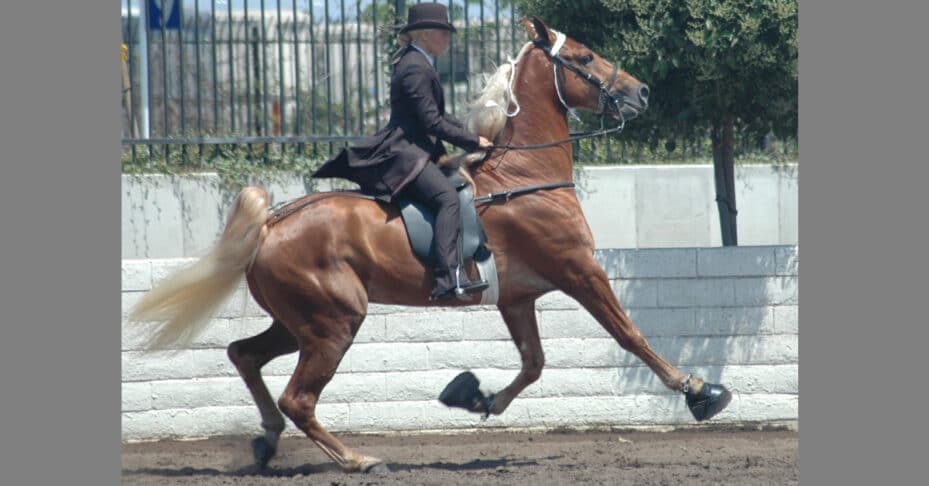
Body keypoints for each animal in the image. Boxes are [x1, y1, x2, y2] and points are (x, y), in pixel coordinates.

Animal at [128, 17, 731, 474]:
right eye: (584, 56)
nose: (641, 92)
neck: (527, 175)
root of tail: (274, 222)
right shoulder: (580, 271)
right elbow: (631, 336)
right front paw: (700, 392)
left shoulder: (518, 297)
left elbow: (534, 363)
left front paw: (477, 397)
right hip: (333, 322)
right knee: (297, 397)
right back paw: (357, 460)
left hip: (298, 319)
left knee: (245, 355)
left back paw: (267, 441)